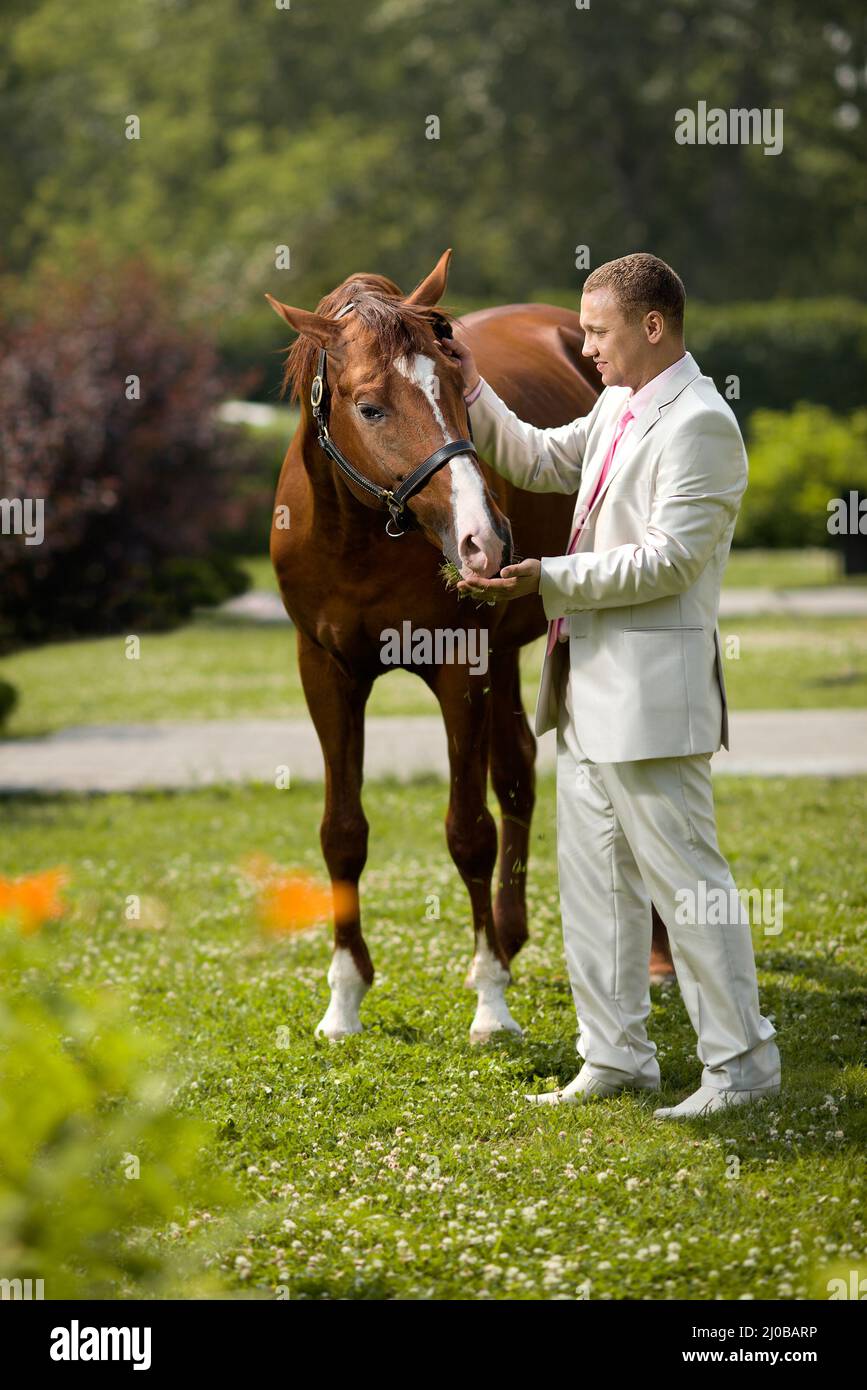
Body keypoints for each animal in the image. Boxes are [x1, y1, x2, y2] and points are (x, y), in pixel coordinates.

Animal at [266, 248, 674, 1042]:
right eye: (370, 406)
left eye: (458, 387)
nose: (484, 541)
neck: (360, 538)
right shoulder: (325, 672)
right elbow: (342, 832)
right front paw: (344, 998)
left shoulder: (463, 666)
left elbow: (468, 831)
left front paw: (490, 1002)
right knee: (516, 773)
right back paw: (513, 937)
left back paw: (655, 957)